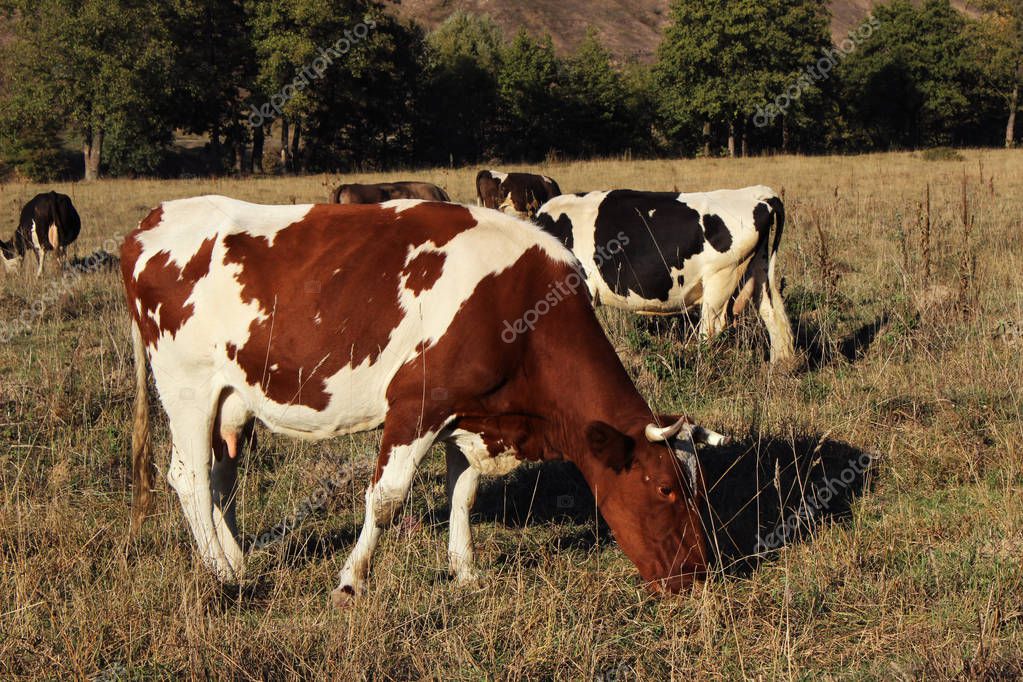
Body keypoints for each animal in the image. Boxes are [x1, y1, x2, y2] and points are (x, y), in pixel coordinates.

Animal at [121, 195, 729, 606]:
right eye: (665, 488)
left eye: (700, 487)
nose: (701, 573)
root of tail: (150, 221)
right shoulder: (416, 404)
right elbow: (386, 499)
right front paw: (351, 582)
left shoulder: (468, 411)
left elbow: (463, 492)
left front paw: (465, 571)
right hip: (186, 387)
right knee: (189, 477)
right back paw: (222, 576)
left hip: (233, 399)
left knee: (220, 479)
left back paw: (237, 561)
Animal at [535, 187, 796, 364]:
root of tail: (755, 193)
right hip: (759, 270)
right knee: (773, 316)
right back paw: (780, 367)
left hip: (721, 278)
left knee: (712, 327)